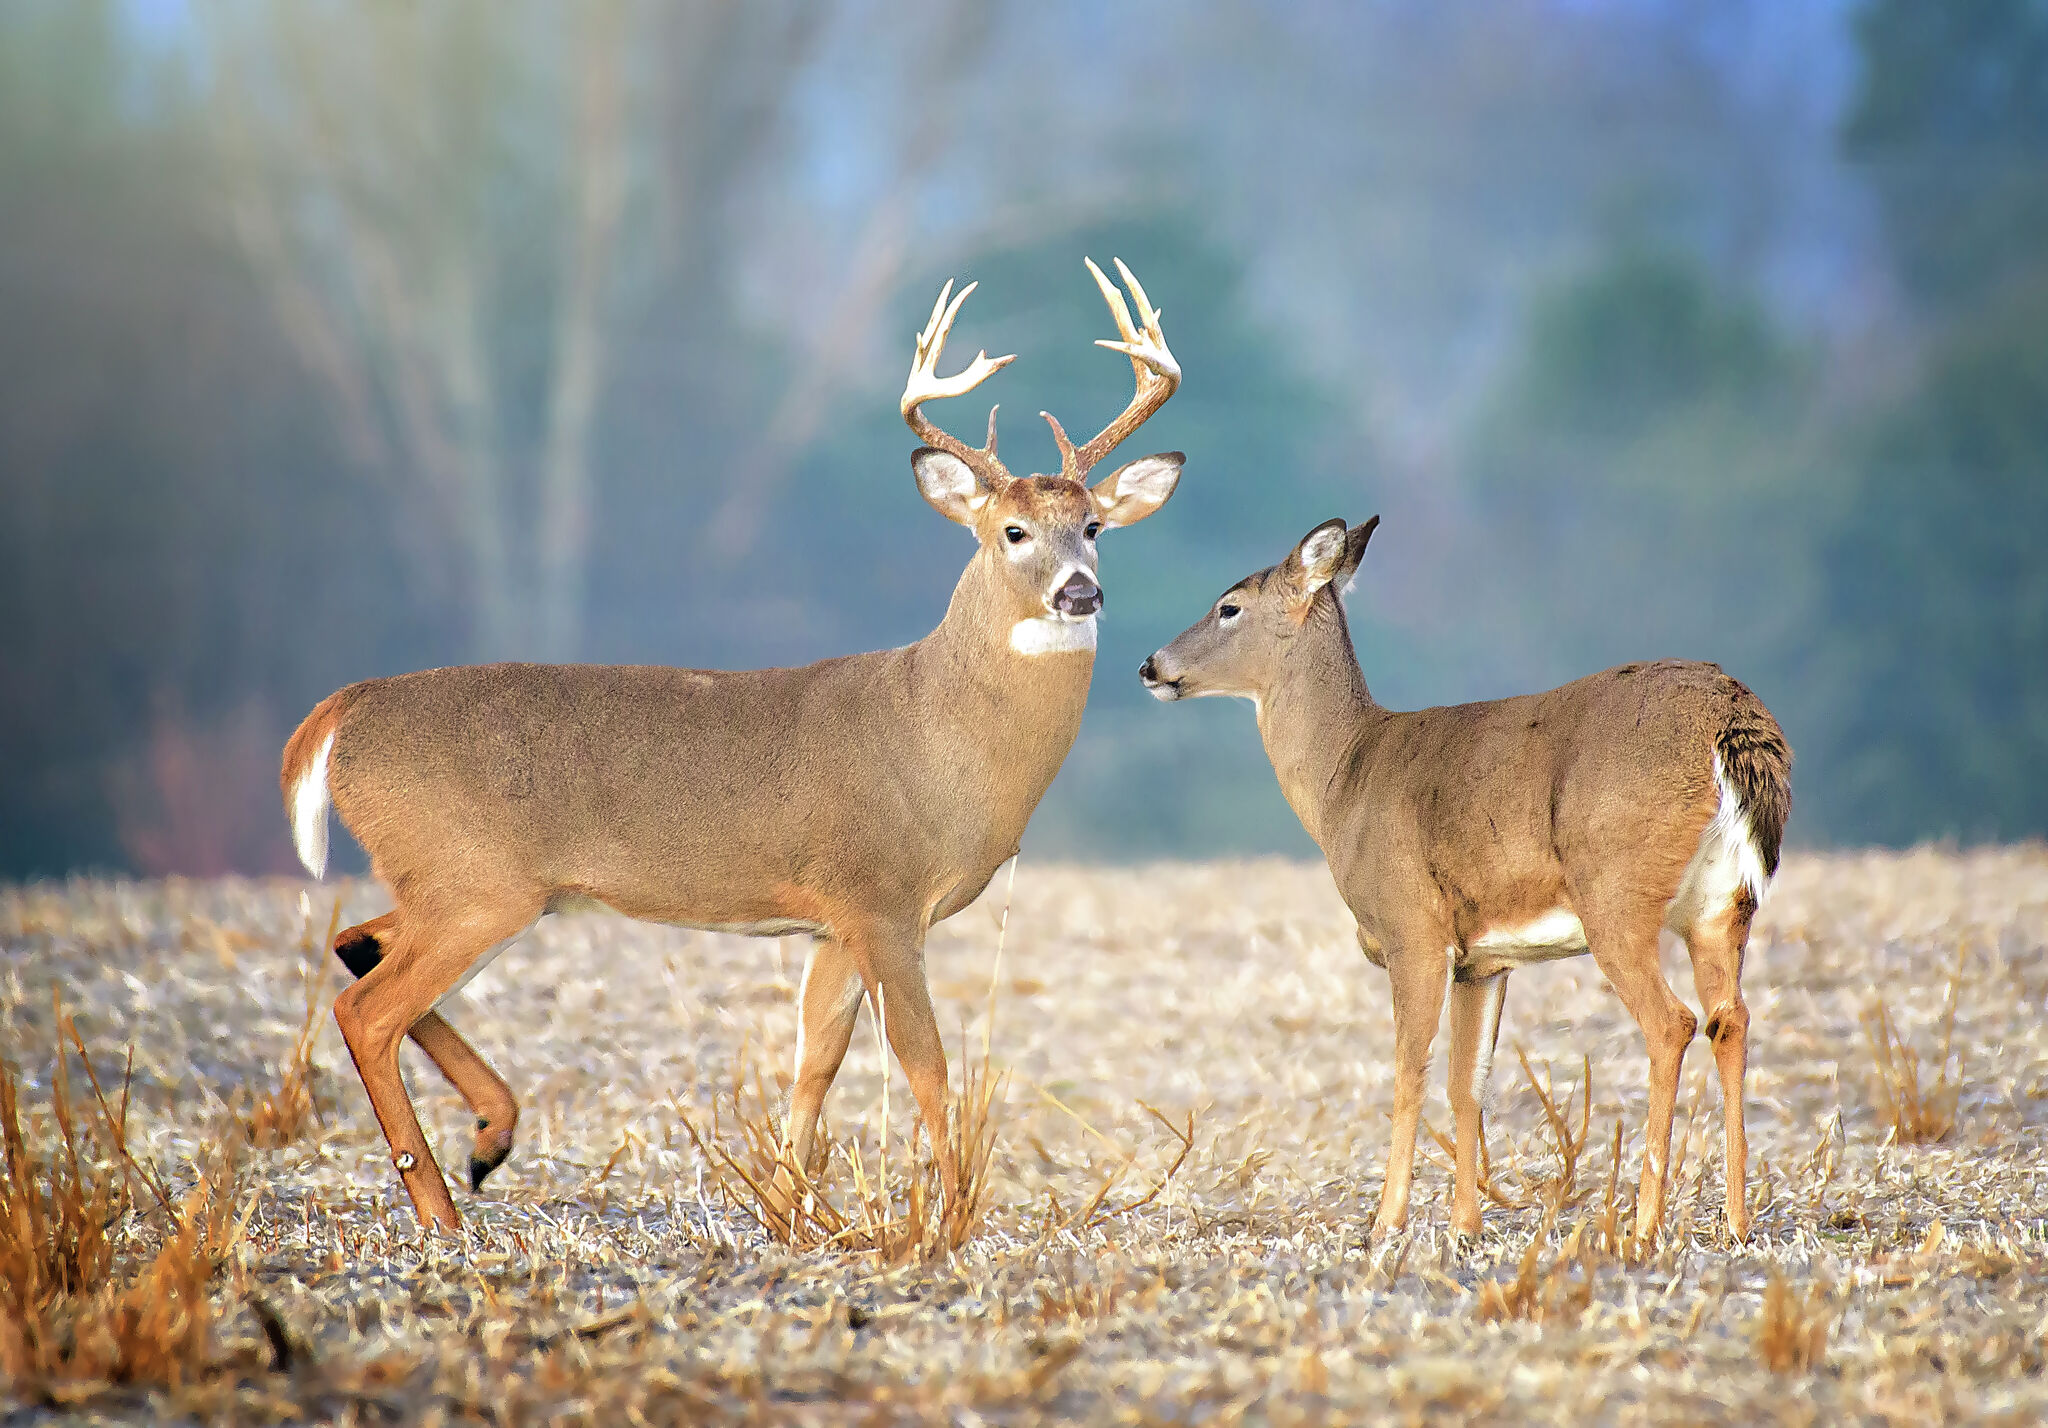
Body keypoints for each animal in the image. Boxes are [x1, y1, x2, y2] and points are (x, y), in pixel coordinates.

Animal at [279, 259, 1186, 1232]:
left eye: (1094, 526)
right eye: (1012, 532)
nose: (1080, 592)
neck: (940, 738)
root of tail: (337, 713)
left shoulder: (832, 919)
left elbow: (814, 1062)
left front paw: (788, 1212)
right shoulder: (879, 897)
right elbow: (925, 1063)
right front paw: (948, 1220)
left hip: (460, 883)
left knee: (358, 943)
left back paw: (490, 1140)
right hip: (472, 880)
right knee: (367, 1007)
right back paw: (443, 1212)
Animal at [1139, 517, 1790, 1249]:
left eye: (1229, 607)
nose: (1151, 666)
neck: (1346, 779)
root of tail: (1732, 725)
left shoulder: (1413, 930)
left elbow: (1408, 1071)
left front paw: (1386, 1221)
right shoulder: (1483, 960)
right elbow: (1466, 1082)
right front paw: (1465, 1225)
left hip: (1615, 895)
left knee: (1672, 1021)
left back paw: (1643, 1226)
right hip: (1722, 906)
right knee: (1730, 1019)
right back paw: (1736, 1221)